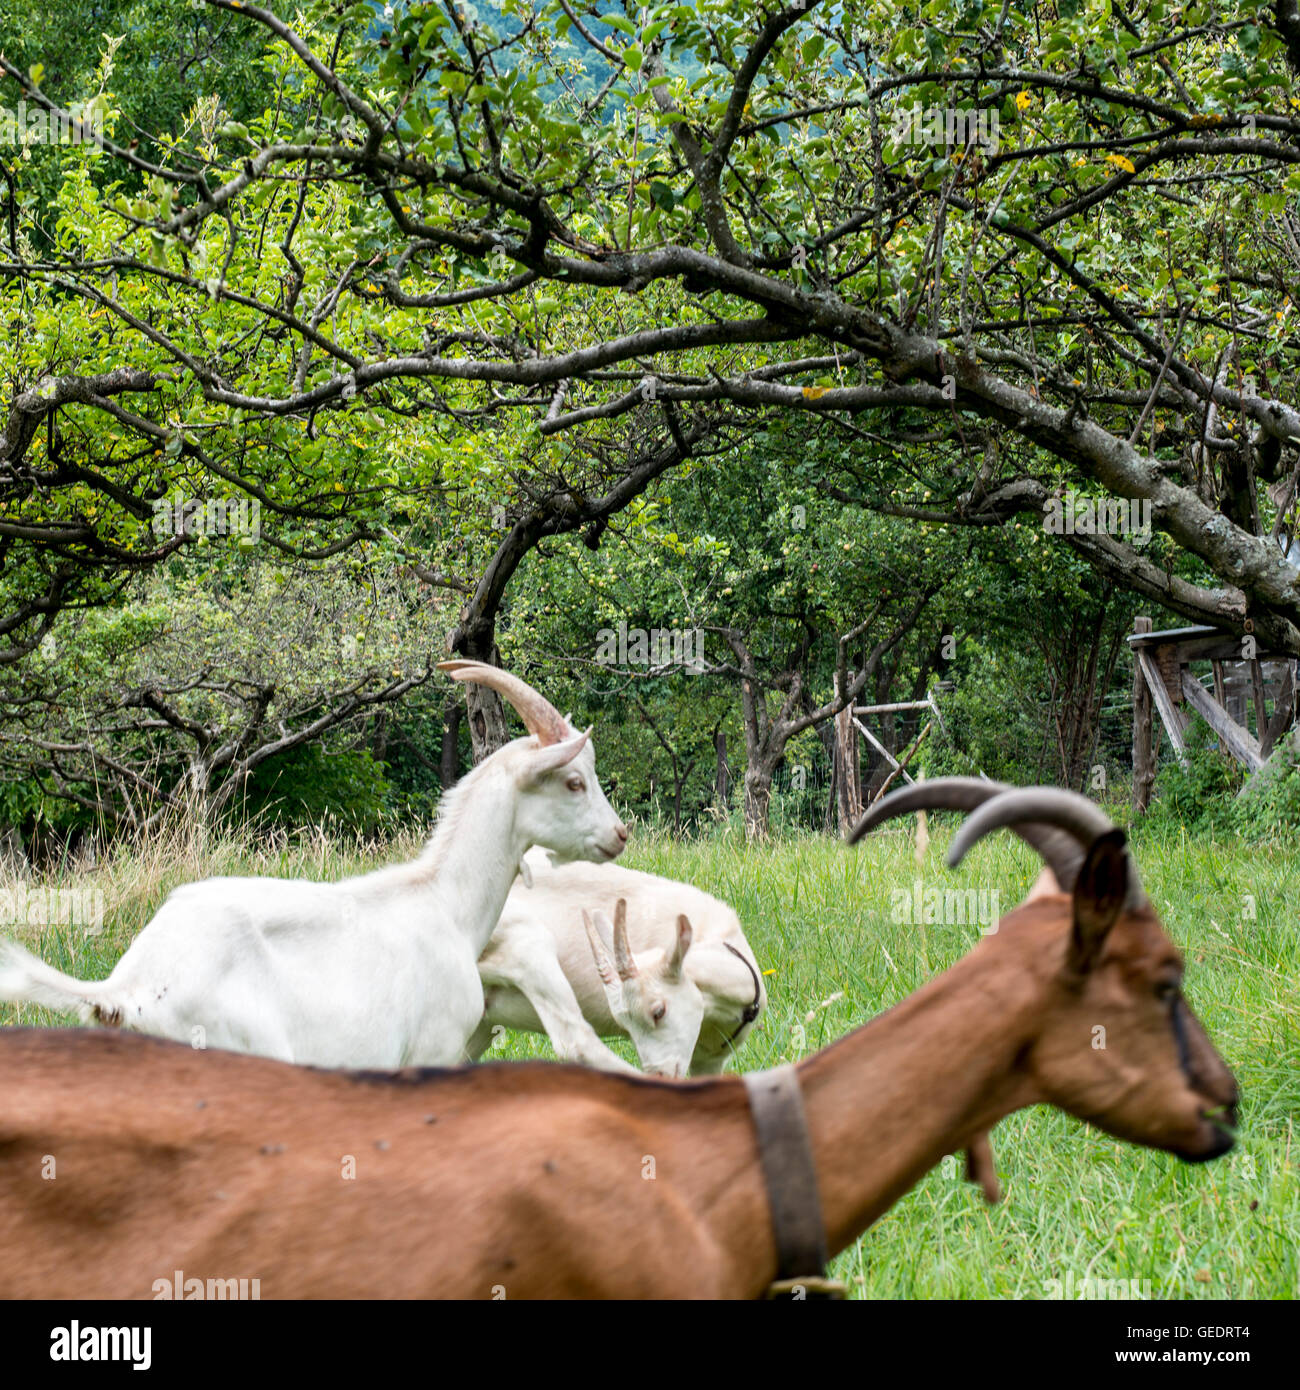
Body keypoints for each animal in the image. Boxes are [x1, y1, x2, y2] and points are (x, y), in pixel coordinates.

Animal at [471, 850, 765, 1078]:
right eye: (625, 1023)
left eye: (658, 1012)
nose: (659, 1074)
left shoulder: (710, 1060)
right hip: (526, 943)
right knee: (574, 1041)